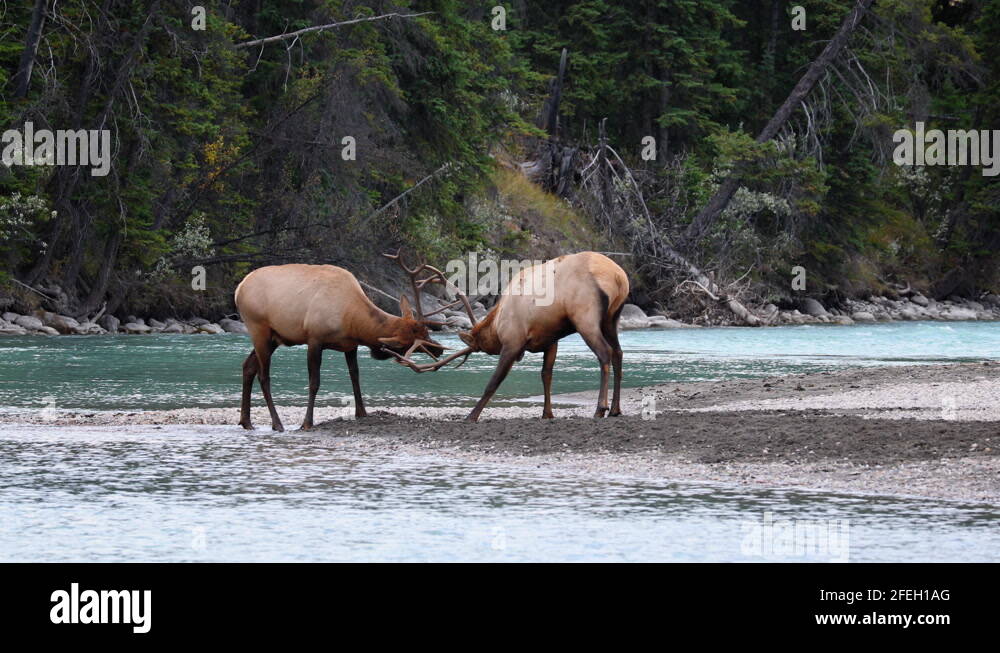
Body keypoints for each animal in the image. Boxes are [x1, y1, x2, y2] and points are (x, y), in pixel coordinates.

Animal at [234, 251, 474, 432]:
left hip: (274, 337)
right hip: (259, 329)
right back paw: (277, 424)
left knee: (248, 366)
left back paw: (246, 422)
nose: (439, 350)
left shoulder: (350, 345)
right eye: (415, 341)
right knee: (263, 375)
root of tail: (238, 289)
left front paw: (362, 413)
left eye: (426, 331)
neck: (352, 320)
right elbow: (314, 382)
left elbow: (355, 377)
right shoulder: (314, 339)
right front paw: (306, 423)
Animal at [393, 251, 629, 422]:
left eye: (478, 346)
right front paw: (547, 413)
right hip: (611, 318)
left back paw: (600, 408)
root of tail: (619, 278)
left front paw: (471, 416)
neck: (497, 324)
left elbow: (494, 382)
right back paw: (615, 409)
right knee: (618, 353)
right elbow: (546, 375)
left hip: (585, 315)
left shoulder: (513, 341)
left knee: (604, 353)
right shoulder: (550, 340)